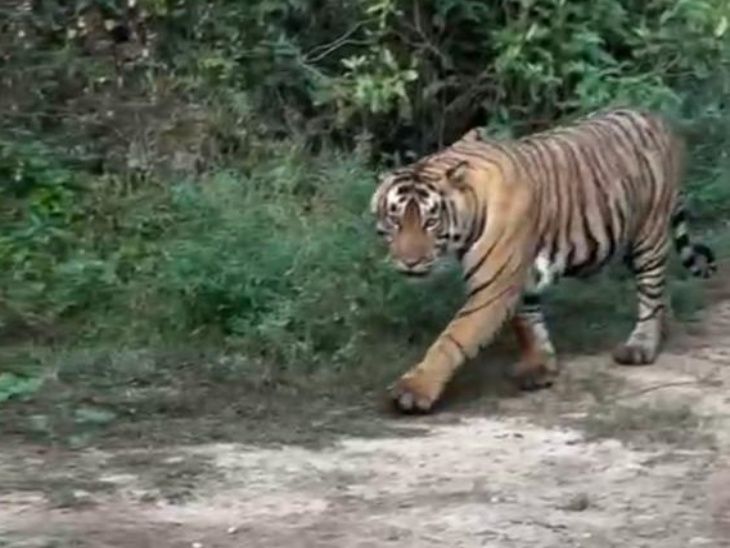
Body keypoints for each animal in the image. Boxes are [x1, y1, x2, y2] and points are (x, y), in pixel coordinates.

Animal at [371, 108, 716, 413]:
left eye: (430, 222)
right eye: (395, 220)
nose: (410, 261)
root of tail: (658, 120)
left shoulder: (494, 287)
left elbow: (453, 338)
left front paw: (414, 390)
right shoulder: (521, 276)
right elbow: (527, 320)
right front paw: (540, 366)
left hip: (649, 234)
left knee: (650, 291)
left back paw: (641, 346)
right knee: (658, 293)